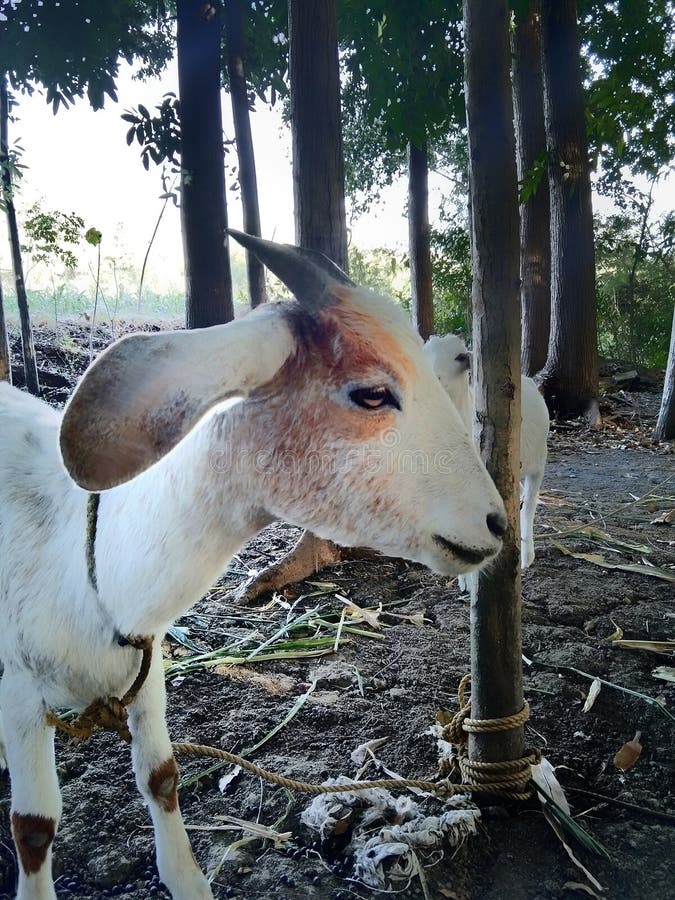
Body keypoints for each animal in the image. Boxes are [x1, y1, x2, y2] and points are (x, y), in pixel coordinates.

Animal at [0, 232, 507, 900]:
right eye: (372, 393)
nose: (495, 524)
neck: (91, 573)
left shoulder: (148, 666)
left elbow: (162, 775)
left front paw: (189, 882)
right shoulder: (18, 689)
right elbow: (34, 827)